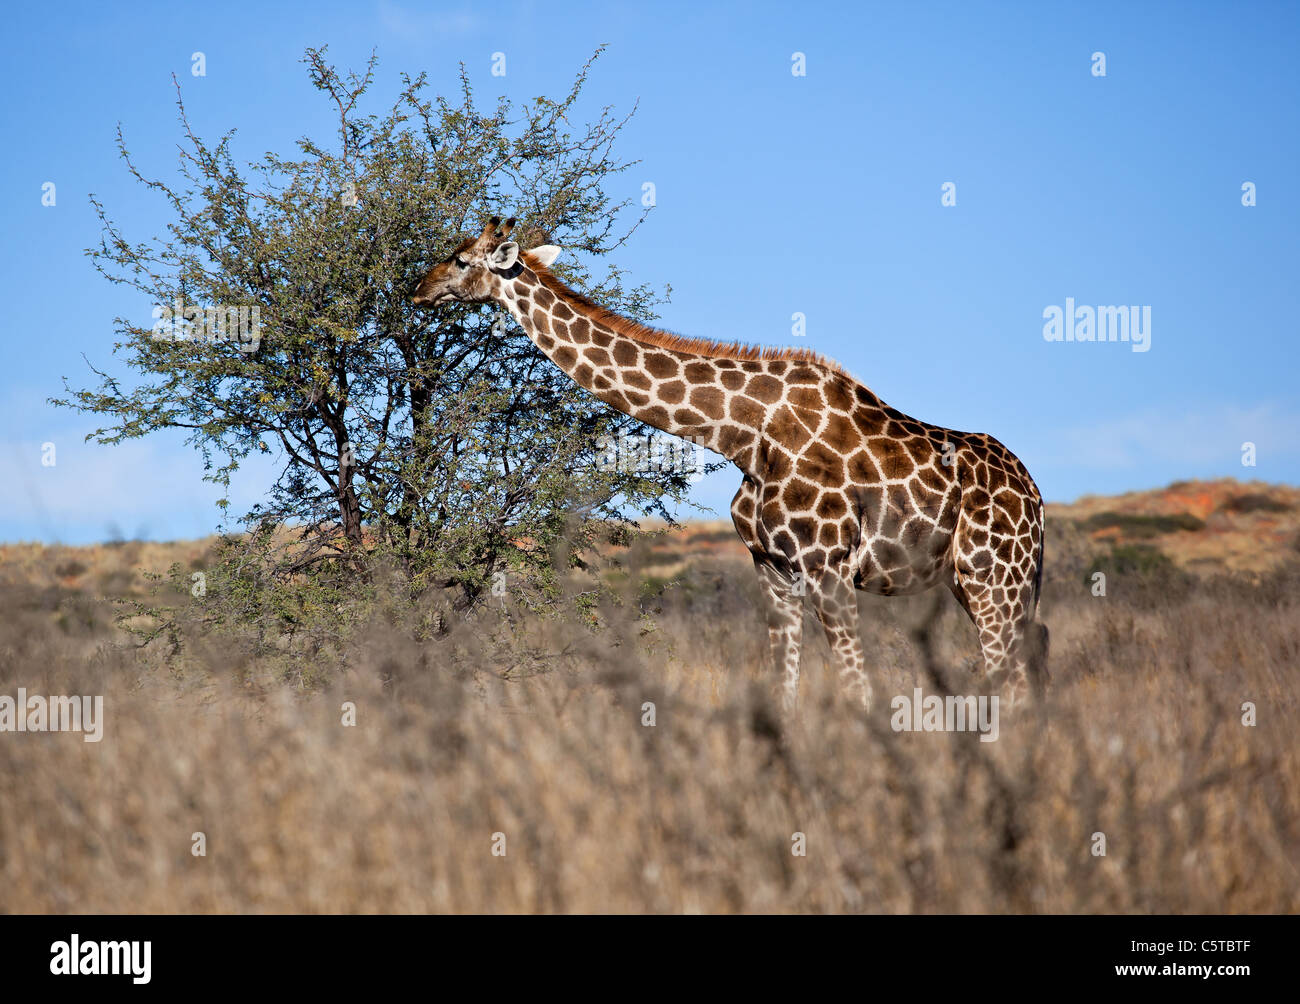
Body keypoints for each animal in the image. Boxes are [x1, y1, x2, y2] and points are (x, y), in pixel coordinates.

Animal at [413, 218, 1049, 711]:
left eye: (460, 258)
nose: (417, 288)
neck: (743, 435)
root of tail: (1035, 497)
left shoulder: (828, 566)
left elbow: (859, 691)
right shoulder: (772, 568)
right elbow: (785, 692)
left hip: (992, 576)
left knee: (1012, 677)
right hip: (990, 583)